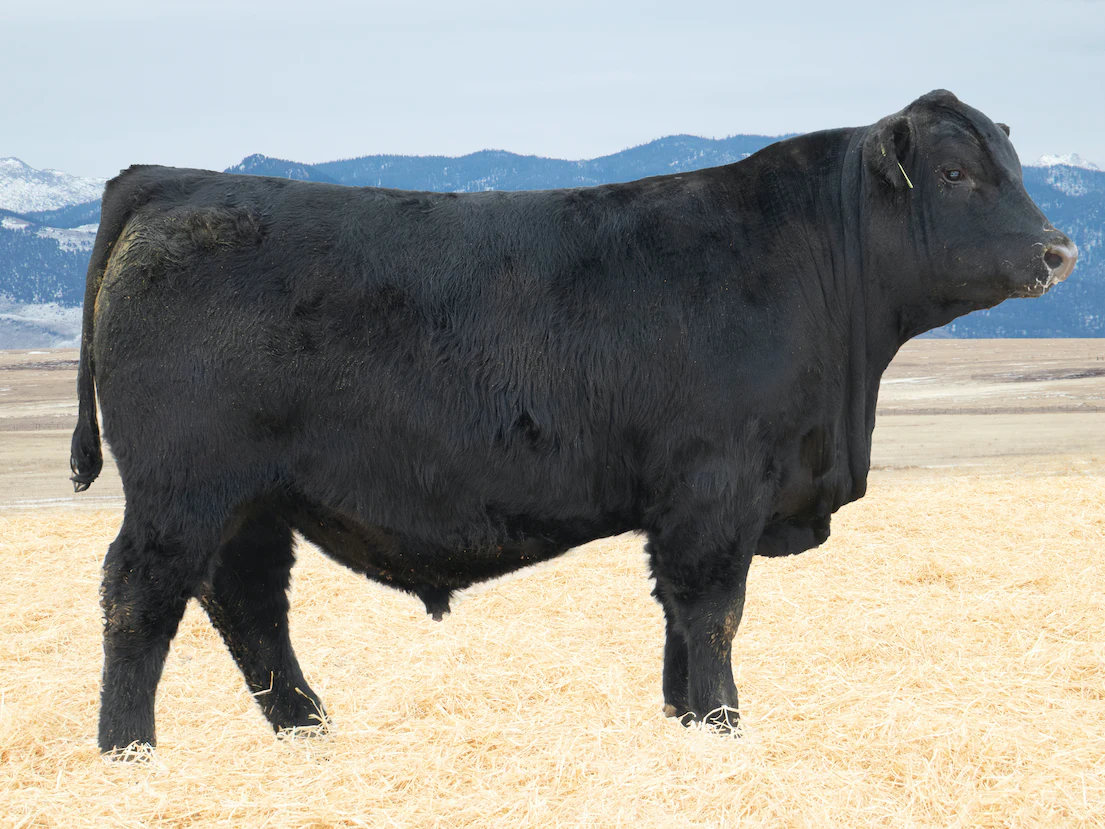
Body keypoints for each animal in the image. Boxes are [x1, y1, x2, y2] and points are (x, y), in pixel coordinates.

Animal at [70, 90, 1077, 755]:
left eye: (1013, 169)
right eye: (953, 172)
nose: (1058, 250)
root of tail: (171, 183)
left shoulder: (688, 501)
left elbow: (679, 618)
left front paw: (683, 723)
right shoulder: (715, 489)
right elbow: (712, 609)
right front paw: (723, 727)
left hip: (251, 501)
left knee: (247, 602)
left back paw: (311, 728)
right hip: (182, 488)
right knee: (139, 596)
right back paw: (129, 751)